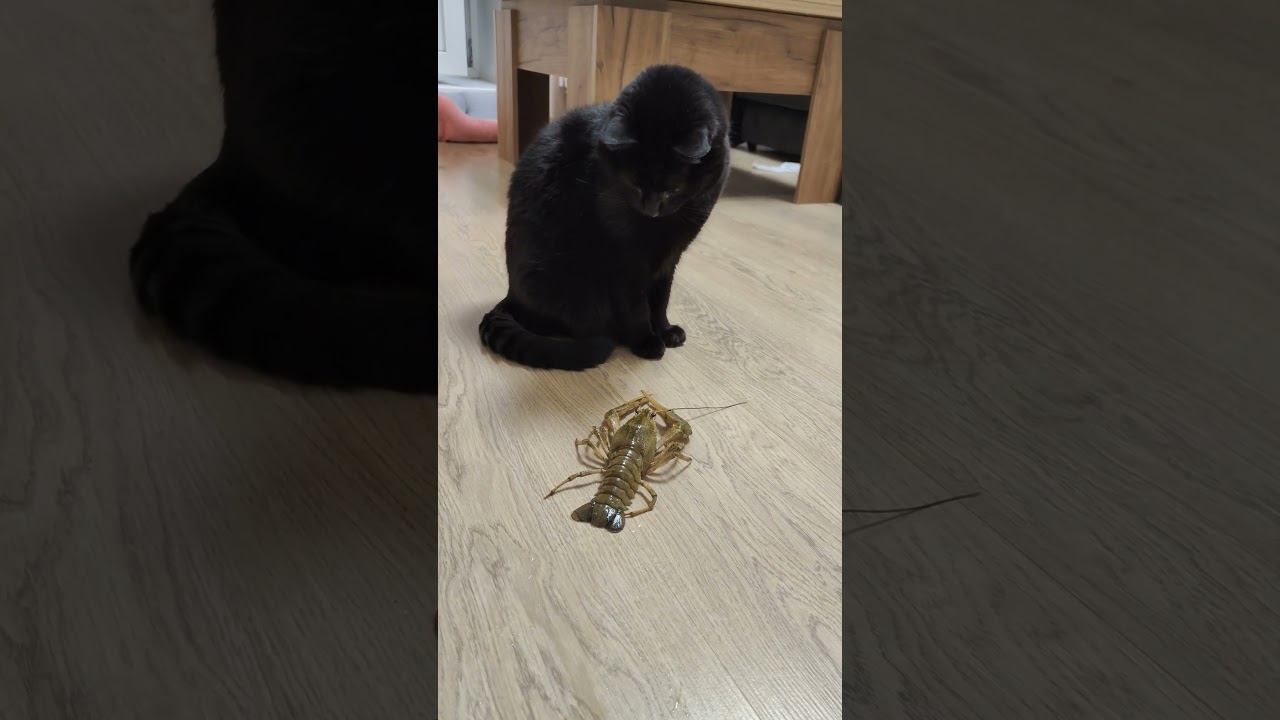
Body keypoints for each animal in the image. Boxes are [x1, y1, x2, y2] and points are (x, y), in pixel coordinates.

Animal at [479, 64, 731, 370]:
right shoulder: (625, 261)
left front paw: (665, 330)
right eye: (633, 184)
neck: (664, 226)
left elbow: (661, 298)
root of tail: (511, 297)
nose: (650, 209)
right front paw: (646, 341)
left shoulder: (670, 257)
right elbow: (637, 306)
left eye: (673, 189)